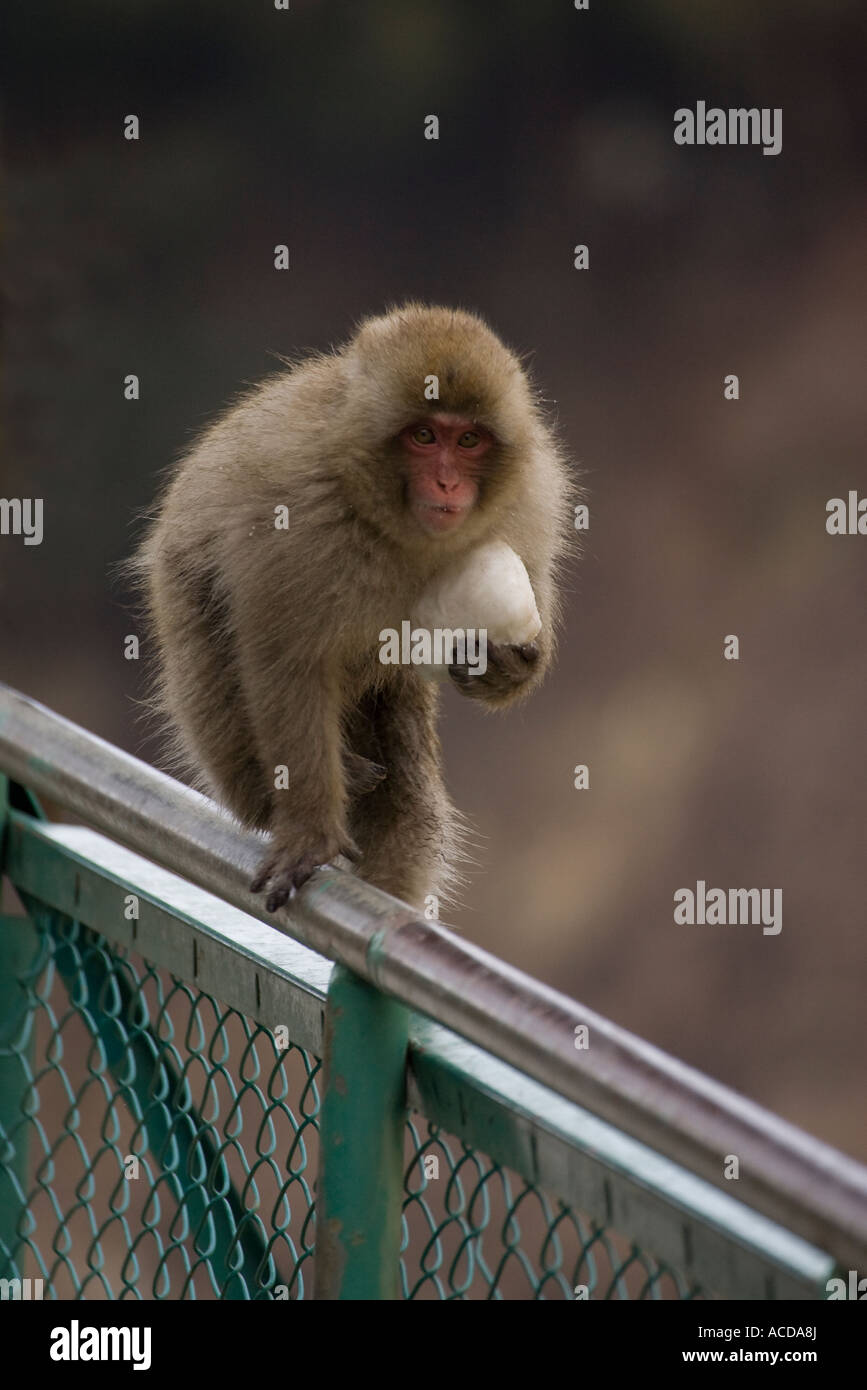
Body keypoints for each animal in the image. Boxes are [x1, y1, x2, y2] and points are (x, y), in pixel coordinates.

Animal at [131, 304, 574, 913]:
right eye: (423, 435)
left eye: (469, 441)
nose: (447, 483)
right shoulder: (299, 517)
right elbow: (286, 664)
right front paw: (310, 832)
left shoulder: (532, 499)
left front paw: (507, 666)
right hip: (180, 603)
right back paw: (272, 790)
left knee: (407, 799)